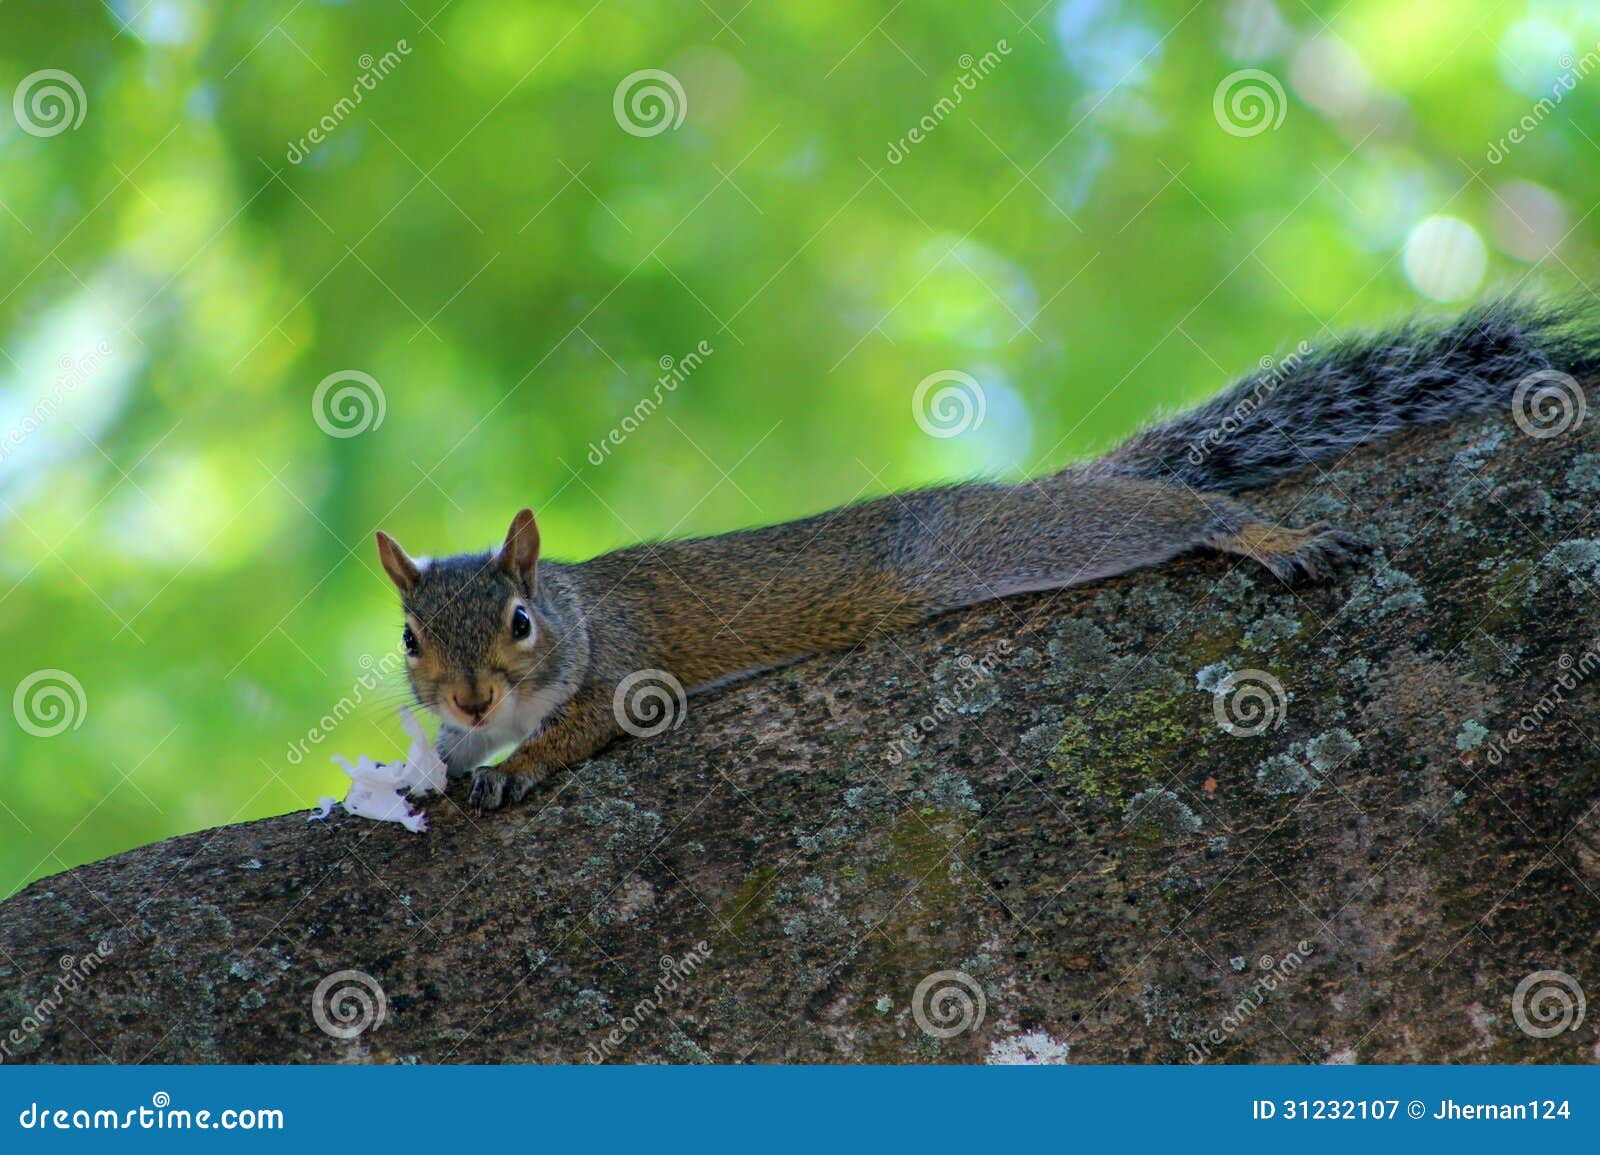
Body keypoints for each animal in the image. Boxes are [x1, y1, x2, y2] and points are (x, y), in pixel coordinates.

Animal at [375, 299, 1600, 810]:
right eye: (410, 639)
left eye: (521, 621)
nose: (474, 700)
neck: (569, 610)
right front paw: (440, 763)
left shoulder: (624, 657)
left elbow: (591, 723)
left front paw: (519, 767)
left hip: (986, 544)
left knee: (1159, 514)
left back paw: (1256, 531)